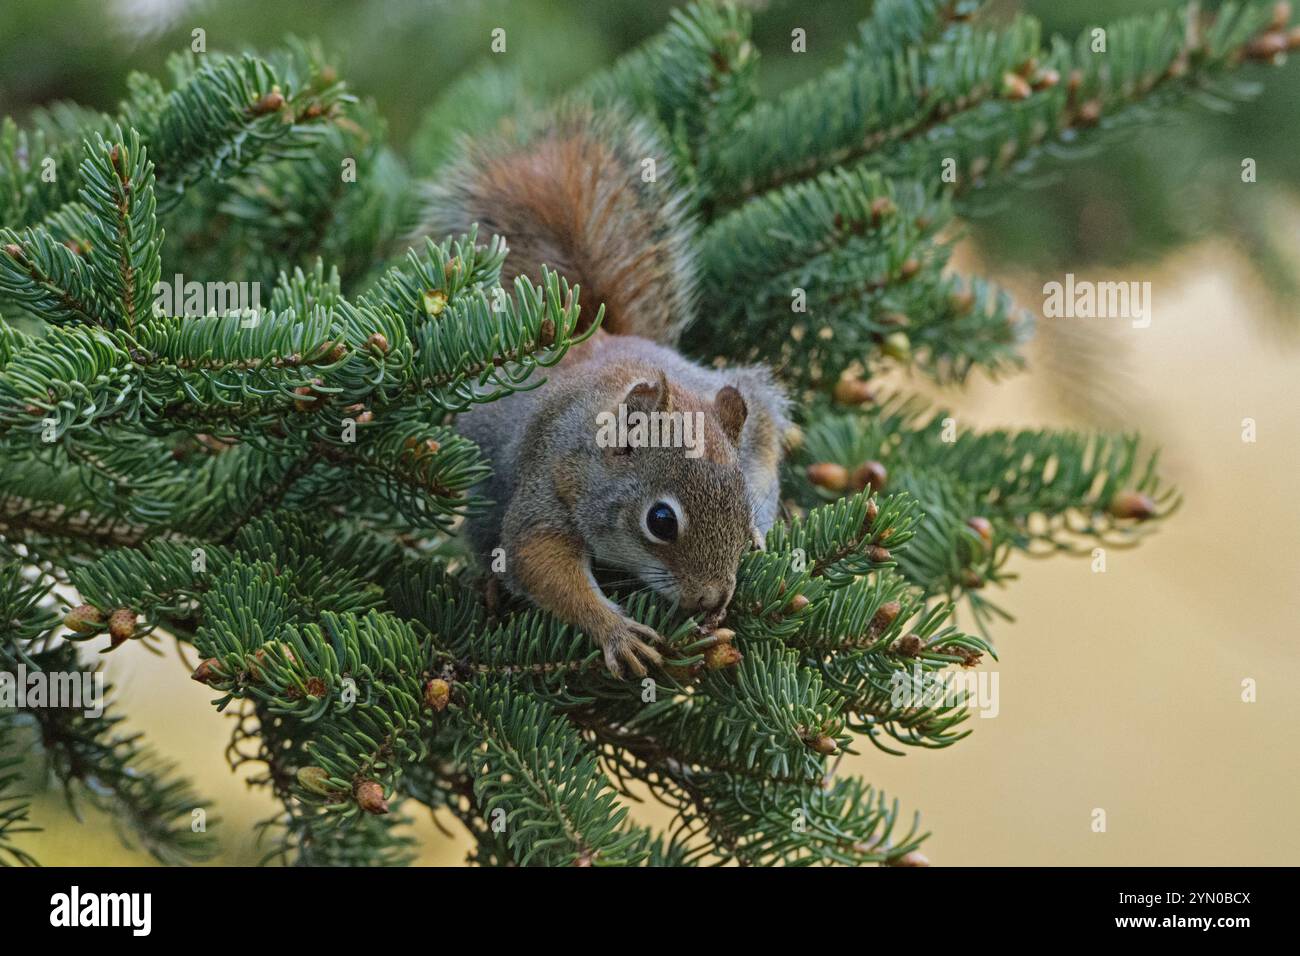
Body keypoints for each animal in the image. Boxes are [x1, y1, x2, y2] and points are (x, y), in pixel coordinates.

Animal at [417, 107, 790, 678]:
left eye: (744, 501)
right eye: (661, 521)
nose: (709, 598)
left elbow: (766, 439)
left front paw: (760, 532)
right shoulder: (550, 478)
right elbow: (537, 557)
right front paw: (617, 632)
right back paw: (488, 586)